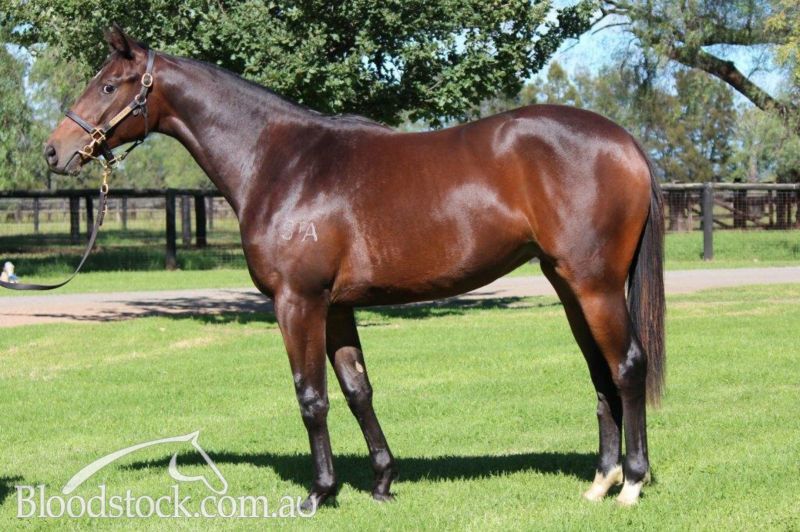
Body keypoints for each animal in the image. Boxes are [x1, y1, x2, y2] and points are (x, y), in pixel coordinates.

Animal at [45, 25, 665, 509]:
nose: (55, 151)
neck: (281, 163)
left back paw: (632, 484)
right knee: (600, 373)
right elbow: (356, 389)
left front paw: (320, 491)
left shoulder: (298, 301)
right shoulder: (337, 307)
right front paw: (383, 482)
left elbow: (311, 395)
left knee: (628, 366)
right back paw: (600, 482)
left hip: (595, 285)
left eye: (108, 85)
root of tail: (627, 142)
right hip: (568, 285)